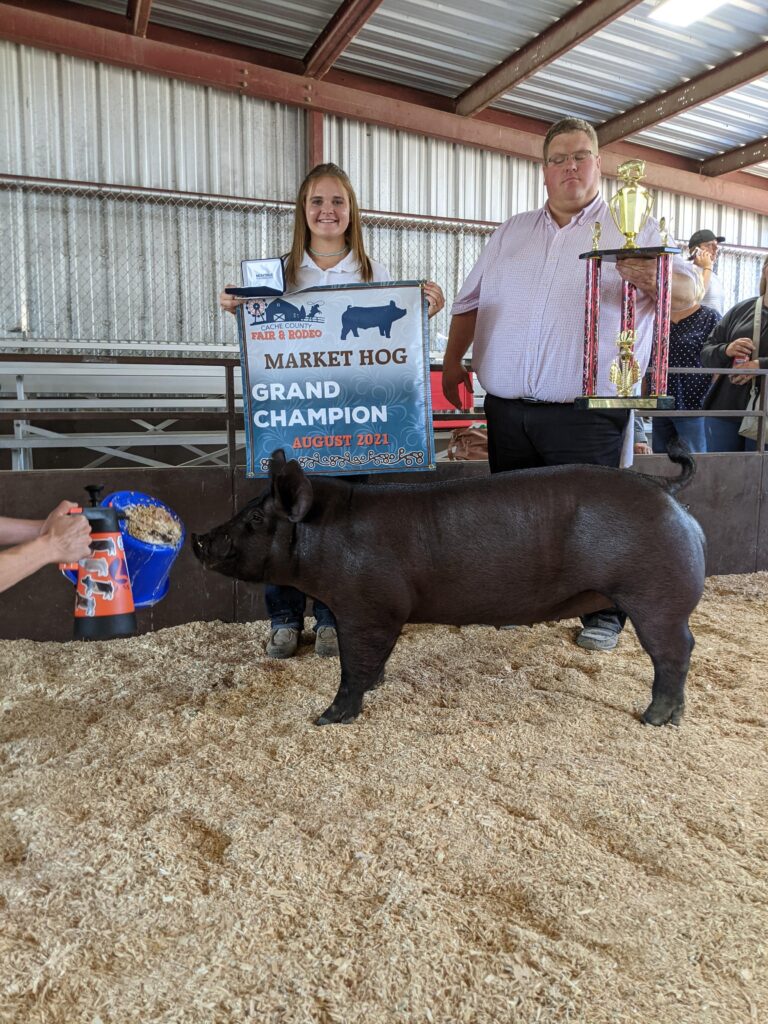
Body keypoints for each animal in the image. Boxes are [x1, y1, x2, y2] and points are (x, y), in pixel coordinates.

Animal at [192, 446, 706, 728]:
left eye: (255, 519)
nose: (199, 538)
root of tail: (663, 490)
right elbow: (371, 662)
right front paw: (375, 687)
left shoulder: (369, 607)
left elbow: (354, 665)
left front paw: (326, 719)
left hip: (656, 596)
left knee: (676, 653)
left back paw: (654, 719)